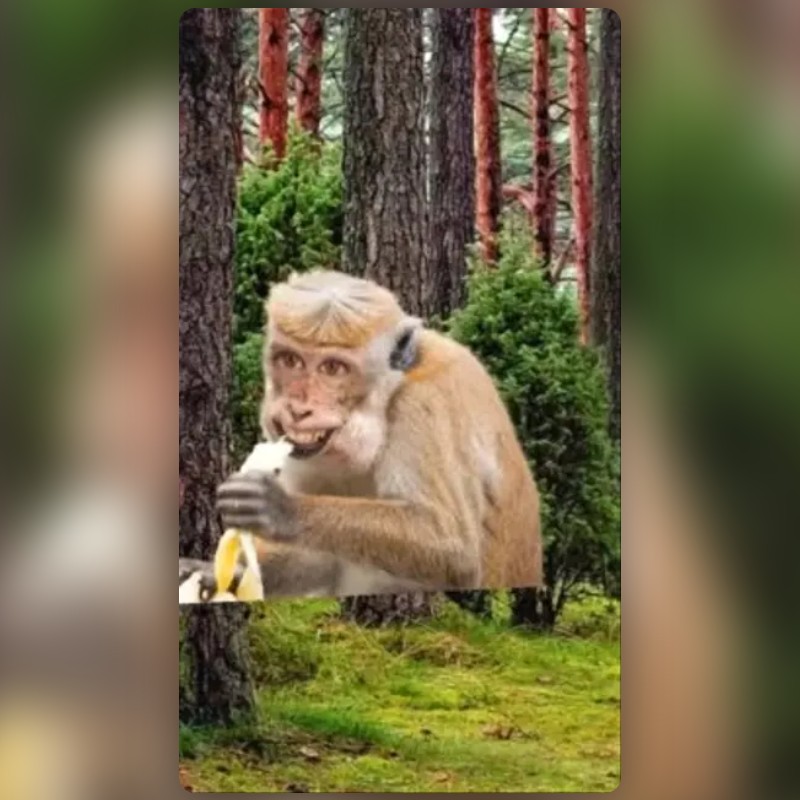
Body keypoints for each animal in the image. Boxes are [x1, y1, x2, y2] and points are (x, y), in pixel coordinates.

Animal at [213, 269, 542, 598]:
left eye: (333, 368)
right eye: (290, 360)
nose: (298, 410)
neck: (393, 391)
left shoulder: (424, 407)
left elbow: (453, 549)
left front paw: (280, 509)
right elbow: (319, 559)